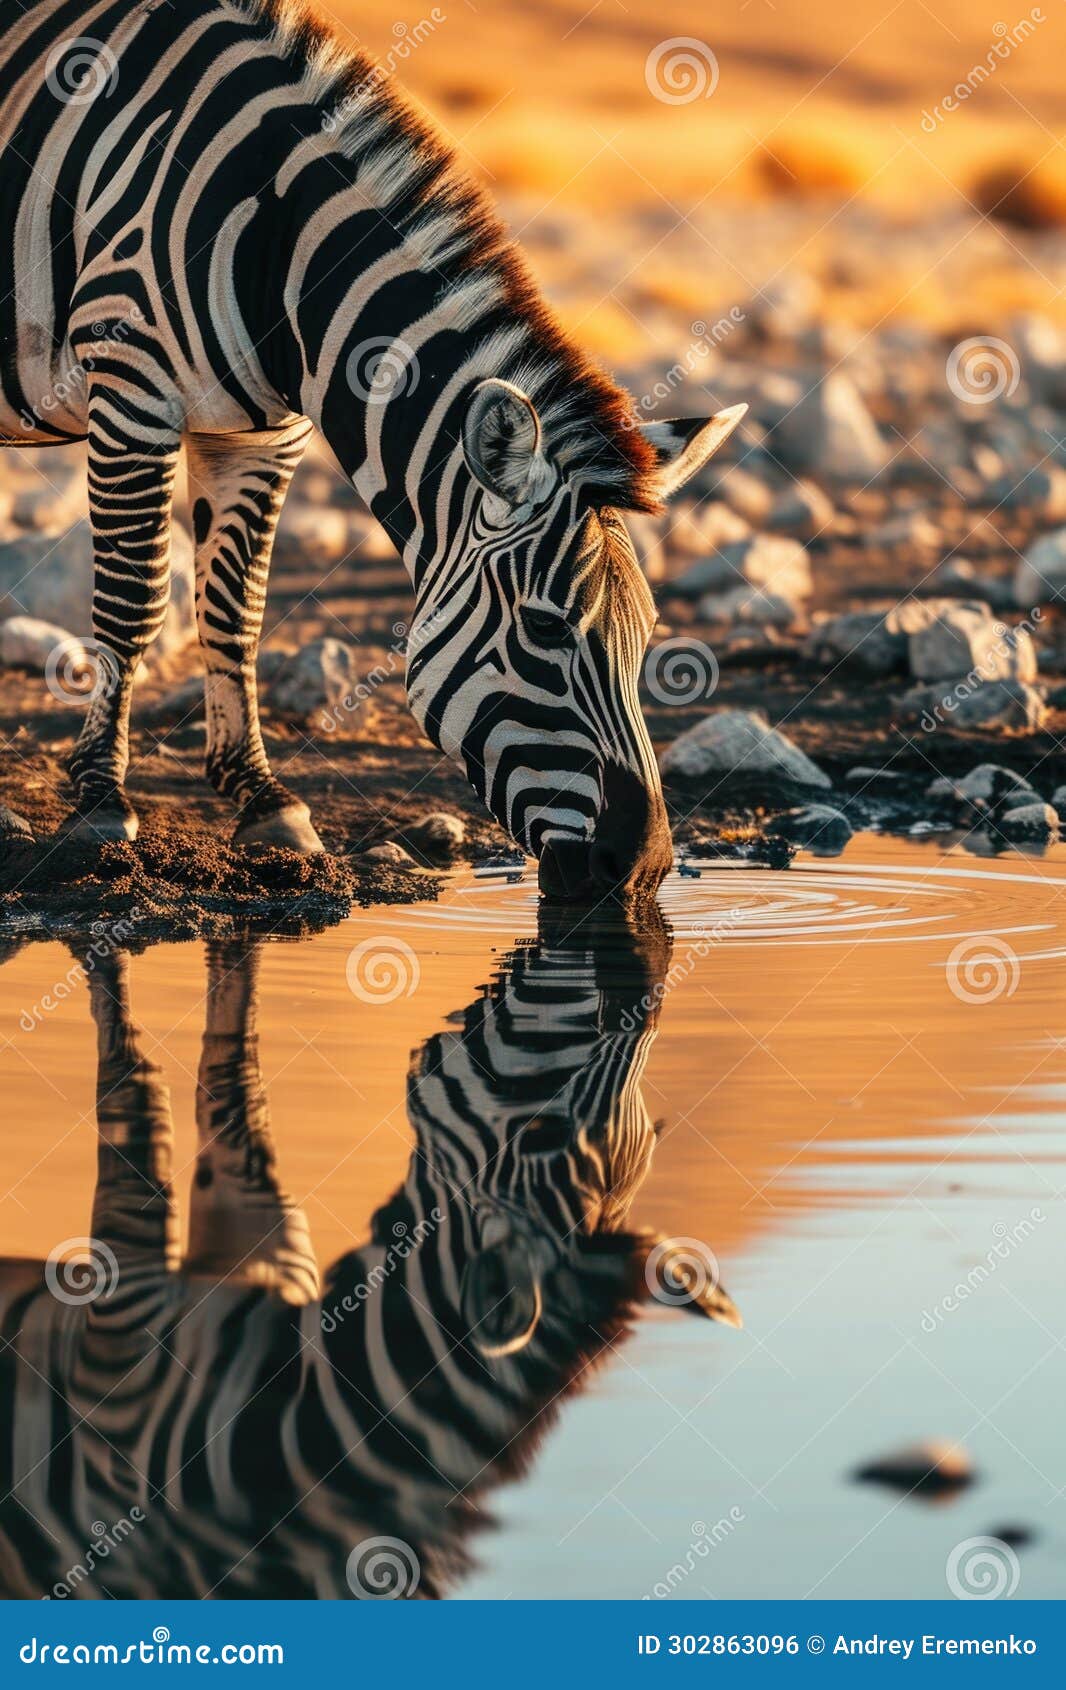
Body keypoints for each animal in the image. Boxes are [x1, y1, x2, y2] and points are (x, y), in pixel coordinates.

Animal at [0, 0, 746, 898]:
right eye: (544, 630)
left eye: (648, 632)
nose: (641, 868)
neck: (279, 241)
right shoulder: (131, 388)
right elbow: (134, 604)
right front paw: (100, 804)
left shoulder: (260, 432)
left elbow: (237, 610)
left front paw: (263, 800)